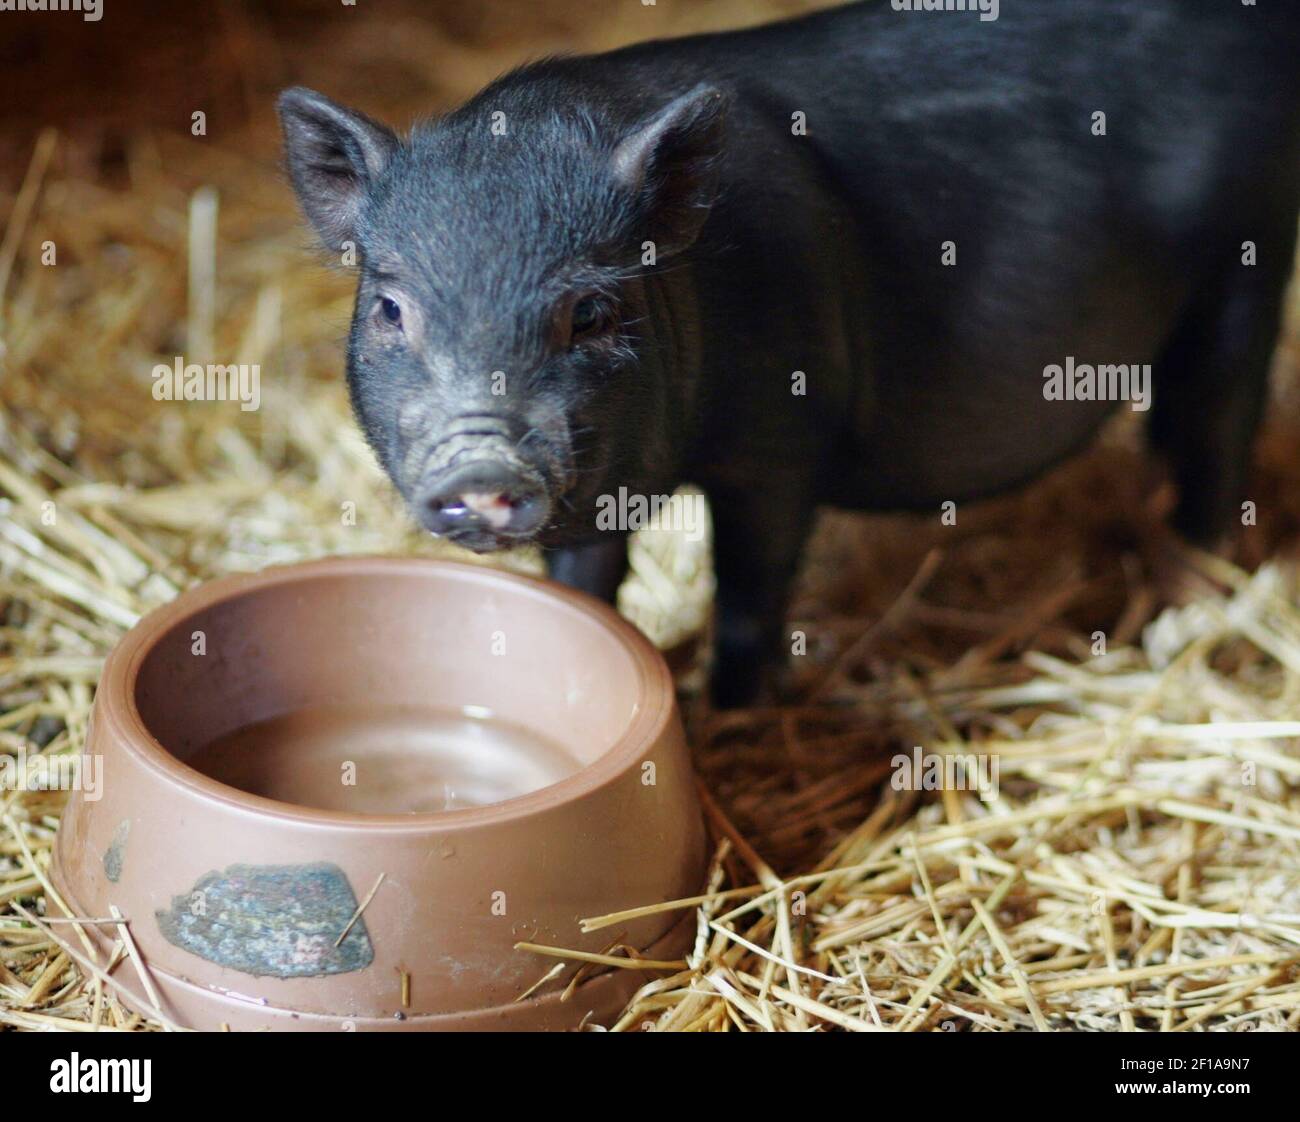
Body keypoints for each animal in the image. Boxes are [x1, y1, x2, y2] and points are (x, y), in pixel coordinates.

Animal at [278, 0, 1300, 706]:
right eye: (391, 308)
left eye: (592, 311)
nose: (482, 463)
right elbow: (591, 580)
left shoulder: (781, 442)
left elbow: (751, 582)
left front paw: (733, 708)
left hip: (1246, 265)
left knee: (1217, 431)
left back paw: (1175, 606)